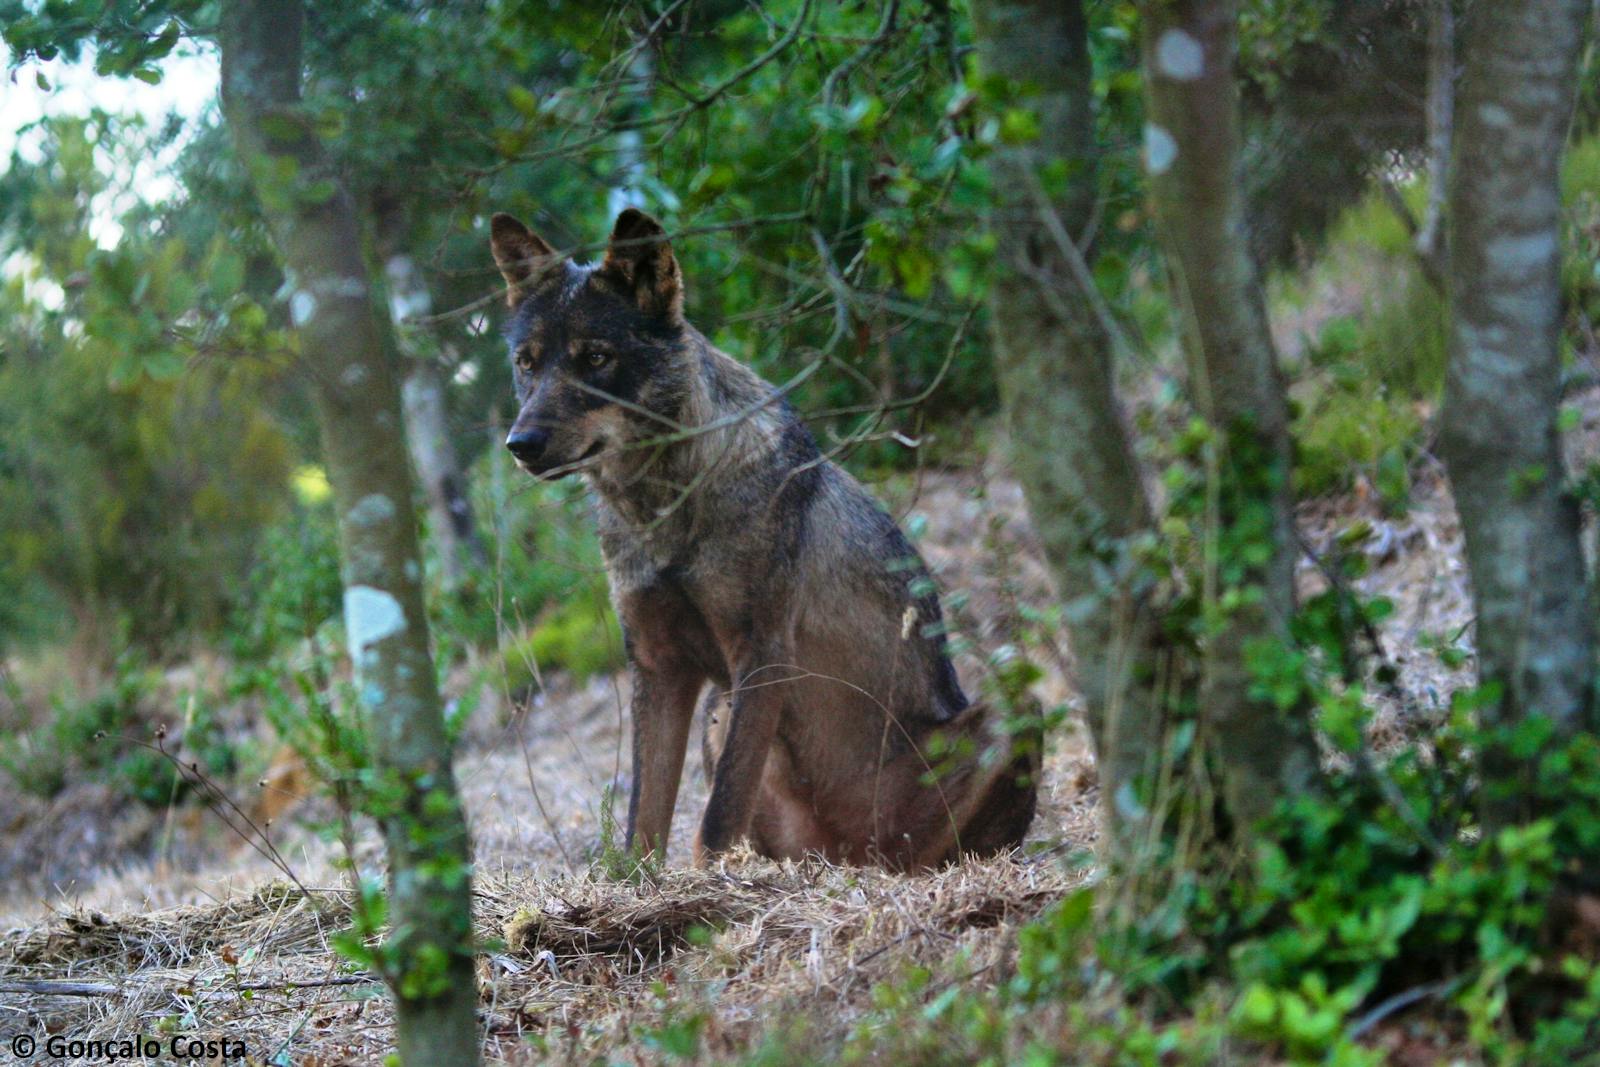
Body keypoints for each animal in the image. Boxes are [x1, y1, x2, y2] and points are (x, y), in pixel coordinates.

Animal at [490, 208, 1037, 870]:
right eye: (527, 363)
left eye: (595, 357)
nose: (521, 445)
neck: (664, 507)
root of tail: (848, 853)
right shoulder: (658, 665)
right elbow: (642, 824)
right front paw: (637, 889)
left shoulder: (760, 652)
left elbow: (715, 817)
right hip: (718, 712)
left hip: (1013, 703)